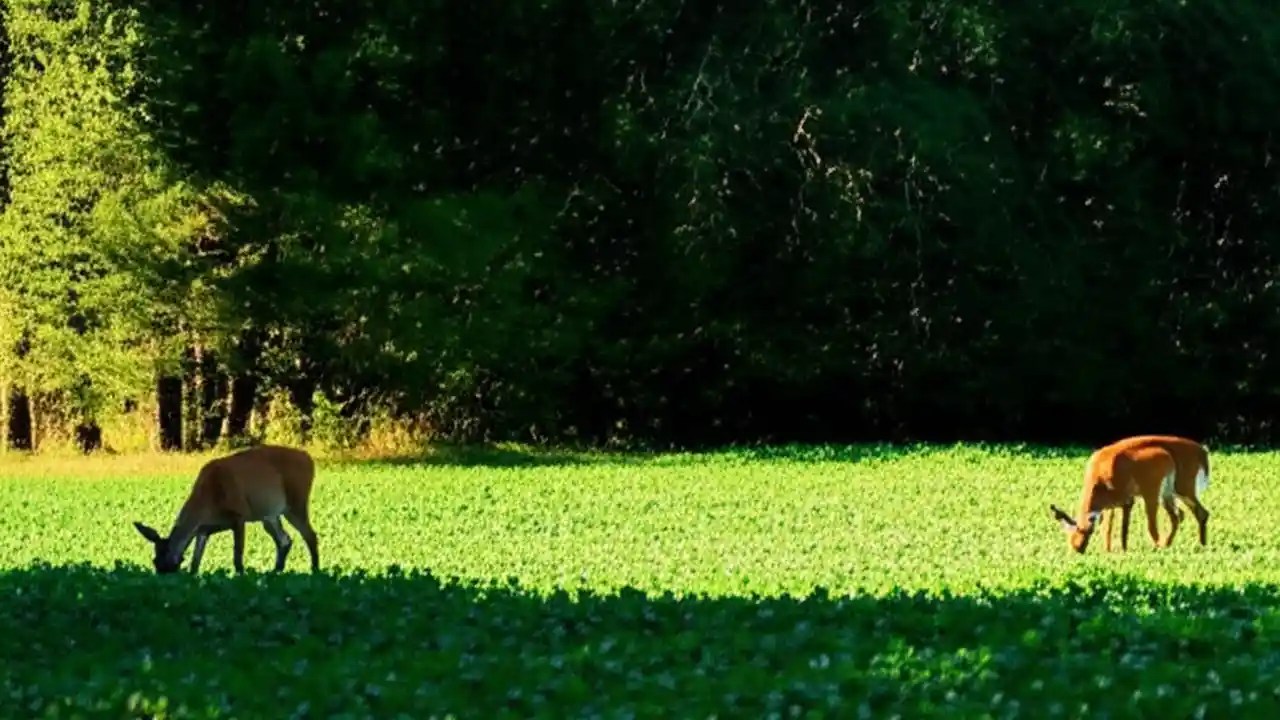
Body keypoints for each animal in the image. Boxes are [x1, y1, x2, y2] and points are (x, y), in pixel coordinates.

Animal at [133, 444, 321, 575]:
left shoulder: (239, 514)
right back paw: (276, 571)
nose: (162, 578)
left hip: (296, 502)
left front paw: (241, 575)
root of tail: (309, 459)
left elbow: (237, 555)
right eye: (154, 561)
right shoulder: (203, 529)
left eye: (164, 563)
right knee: (284, 539)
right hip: (269, 515)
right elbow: (195, 561)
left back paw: (315, 570)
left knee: (310, 534)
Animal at [1049, 435, 1210, 554]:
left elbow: (1121, 528)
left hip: (1167, 488)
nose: (1077, 548)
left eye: (1084, 530)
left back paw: (1163, 546)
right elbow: (1111, 528)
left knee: (1161, 523)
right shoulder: (1119, 502)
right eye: (1067, 533)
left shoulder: (1126, 499)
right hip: (1168, 492)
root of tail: (1202, 453)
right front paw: (1113, 550)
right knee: (1182, 515)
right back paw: (1190, 544)